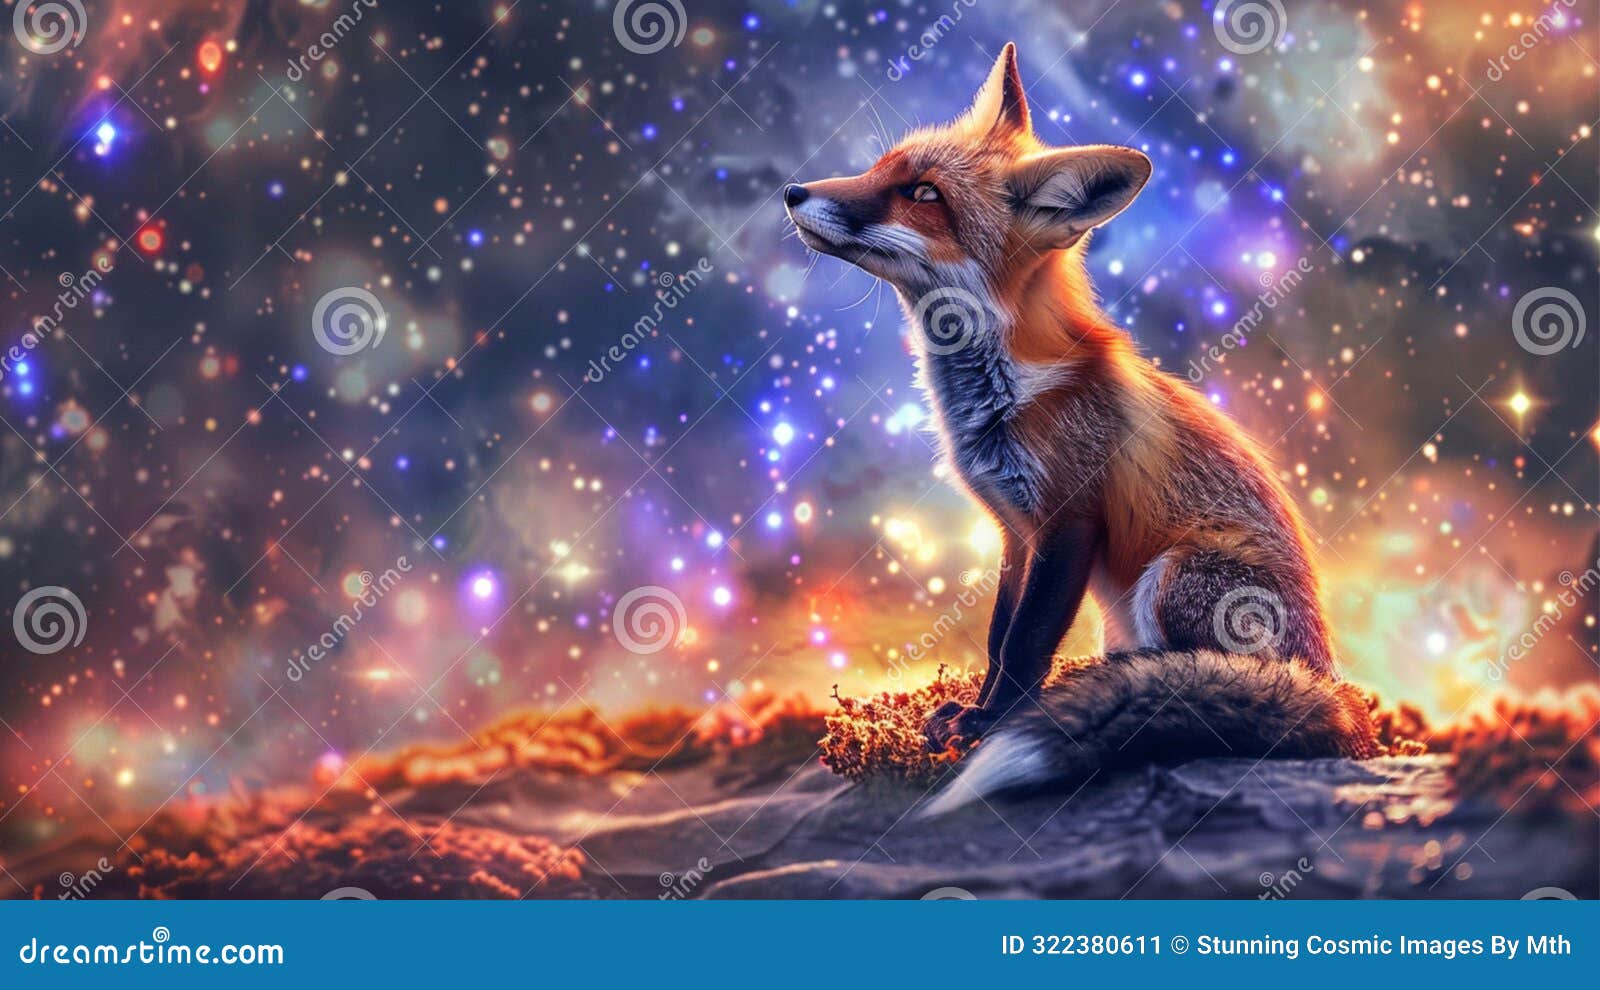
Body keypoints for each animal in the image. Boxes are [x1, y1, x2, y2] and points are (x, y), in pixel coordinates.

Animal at [785, 44, 1377, 815]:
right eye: (881, 169)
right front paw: (975, 713)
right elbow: (999, 635)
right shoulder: (1013, 529)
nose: (793, 191)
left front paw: (990, 726)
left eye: (923, 194)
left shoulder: (1070, 522)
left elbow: (1027, 643)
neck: (1000, 392)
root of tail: (1336, 692)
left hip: (1175, 576)